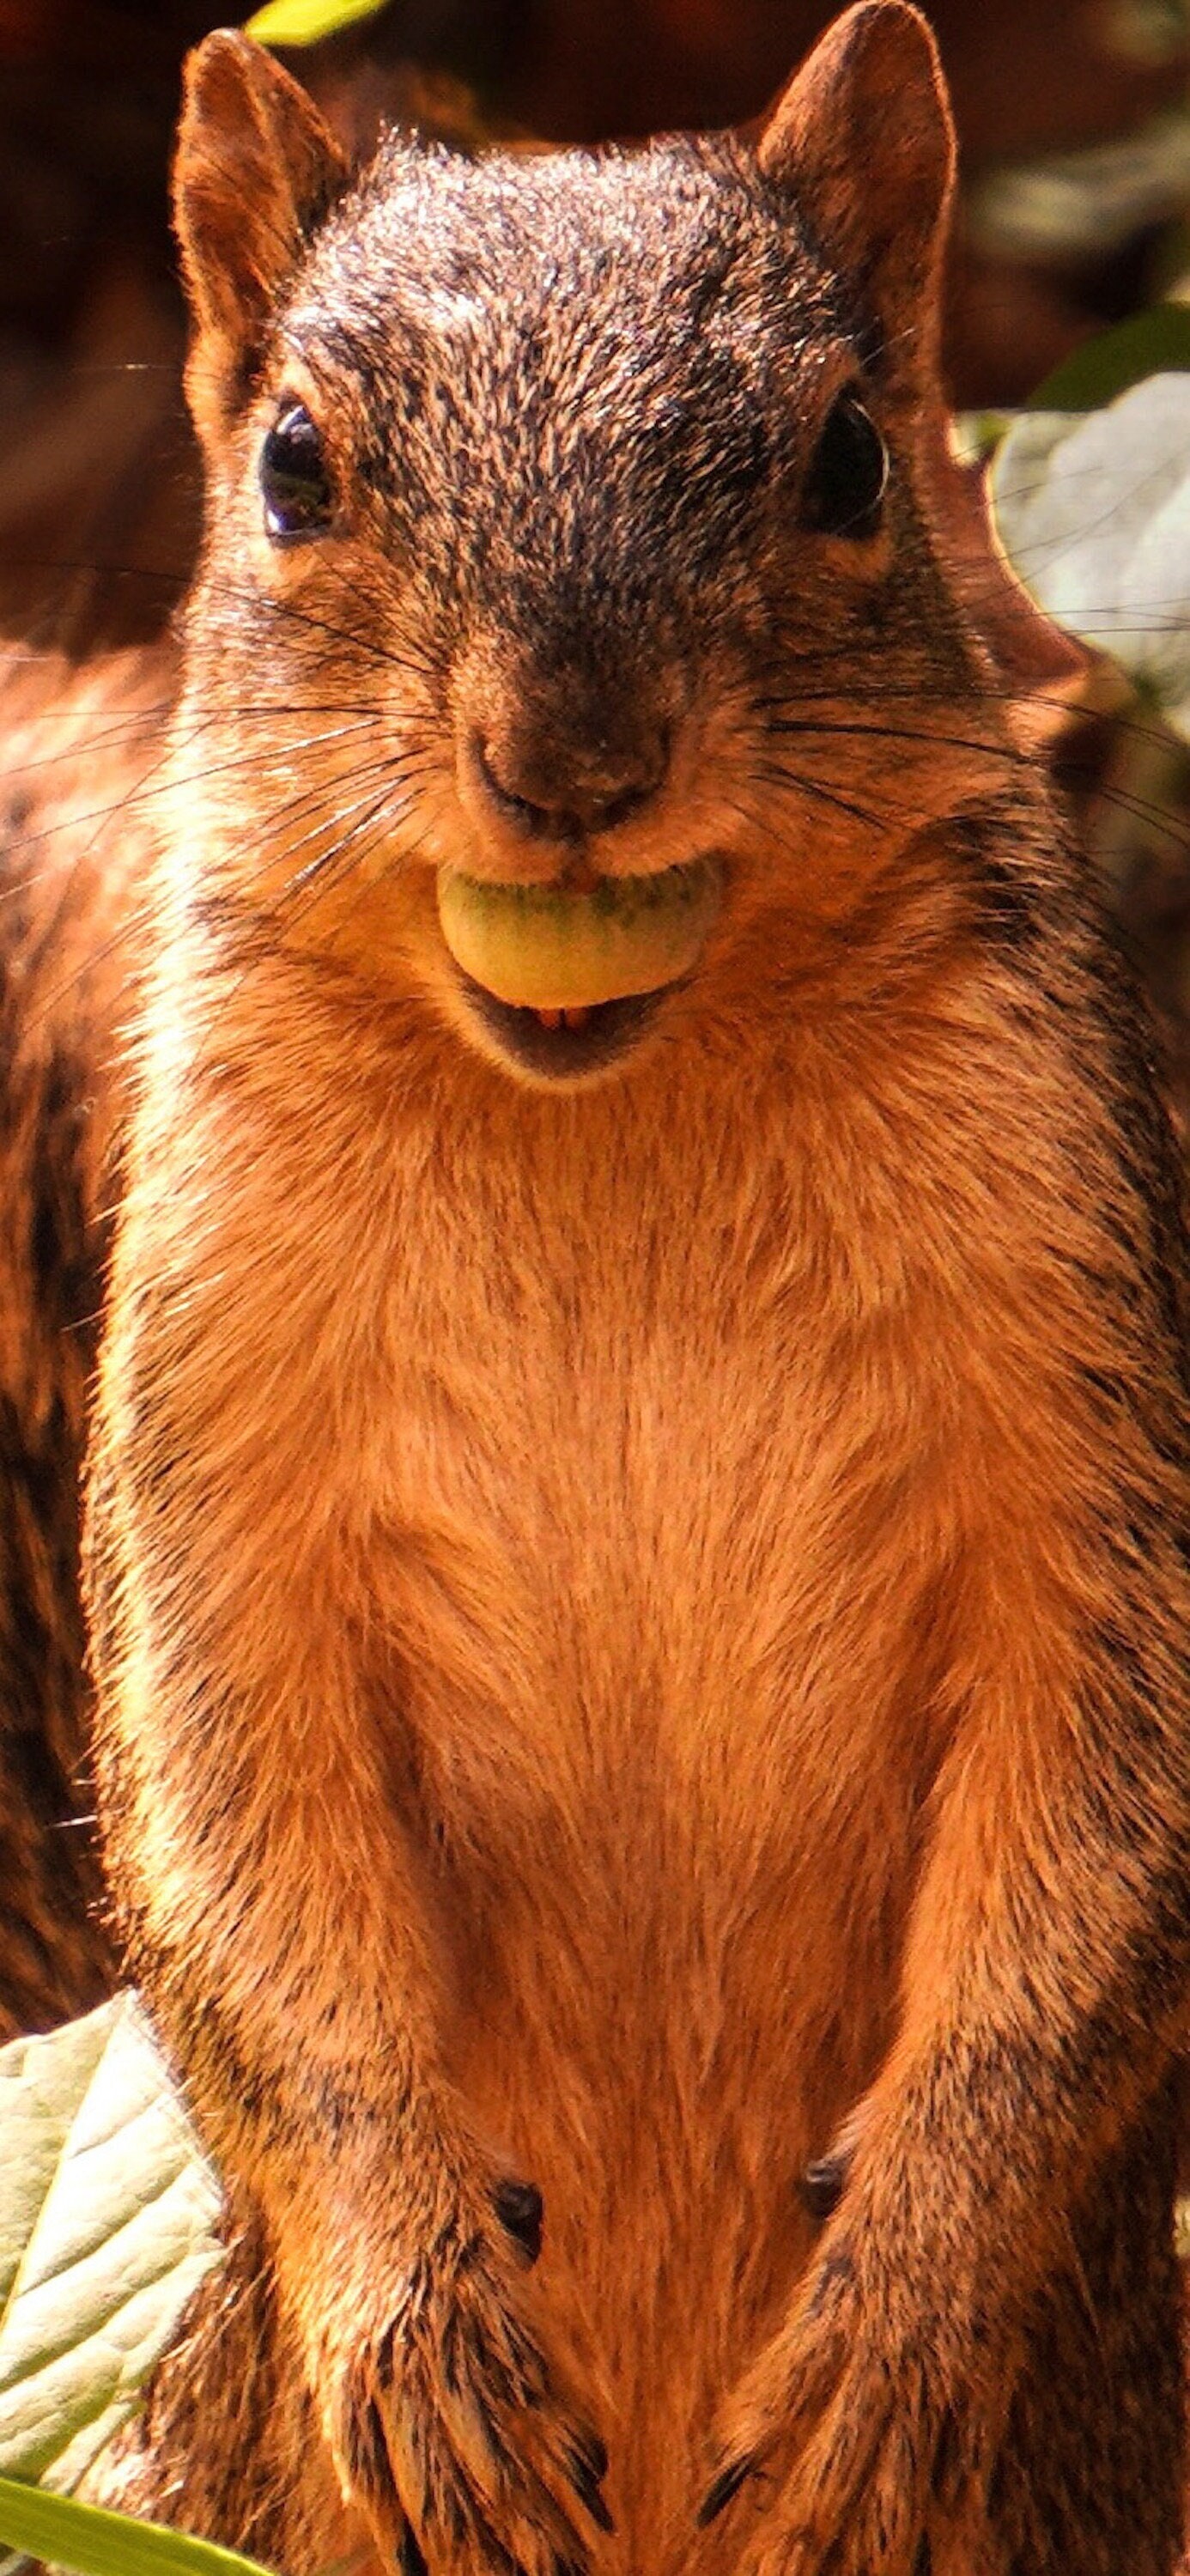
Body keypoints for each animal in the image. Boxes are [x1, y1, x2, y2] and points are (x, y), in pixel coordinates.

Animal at [0, 4, 1187, 2571]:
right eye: (292, 465)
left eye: (851, 458)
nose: (569, 753)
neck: (606, 1126)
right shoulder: (206, 1405)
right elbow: (232, 1851)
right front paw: (410, 2312)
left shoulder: (1080, 1360)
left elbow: (1101, 1818)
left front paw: (906, 2302)